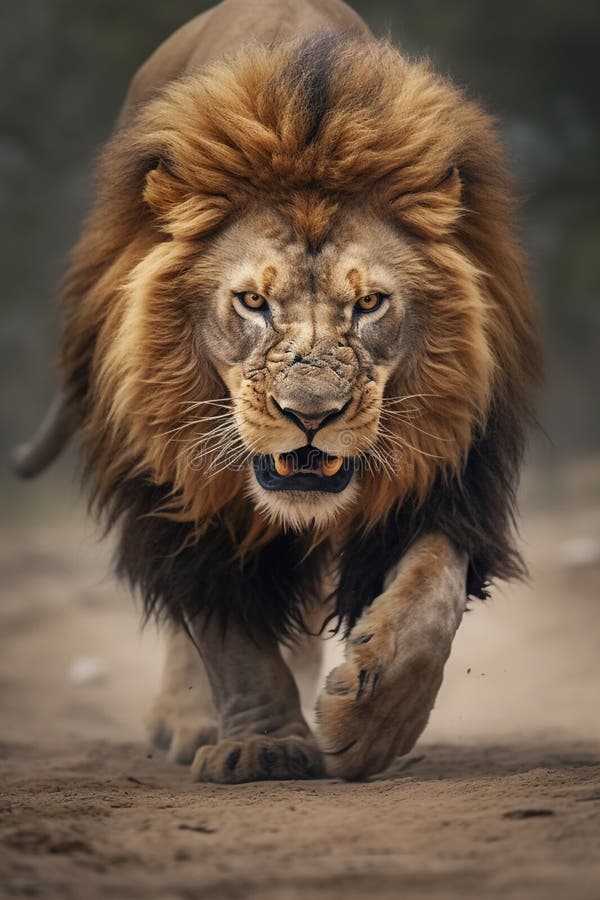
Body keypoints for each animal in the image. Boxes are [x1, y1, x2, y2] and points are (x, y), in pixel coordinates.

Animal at [13, 0, 540, 782]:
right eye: (253, 302)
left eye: (370, 303)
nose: (310, 415)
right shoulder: (173, 488)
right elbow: (226, 633)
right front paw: (262, 745)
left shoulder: (450, 473)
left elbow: (430, 597)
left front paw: (372, 721)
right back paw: (190, 723)